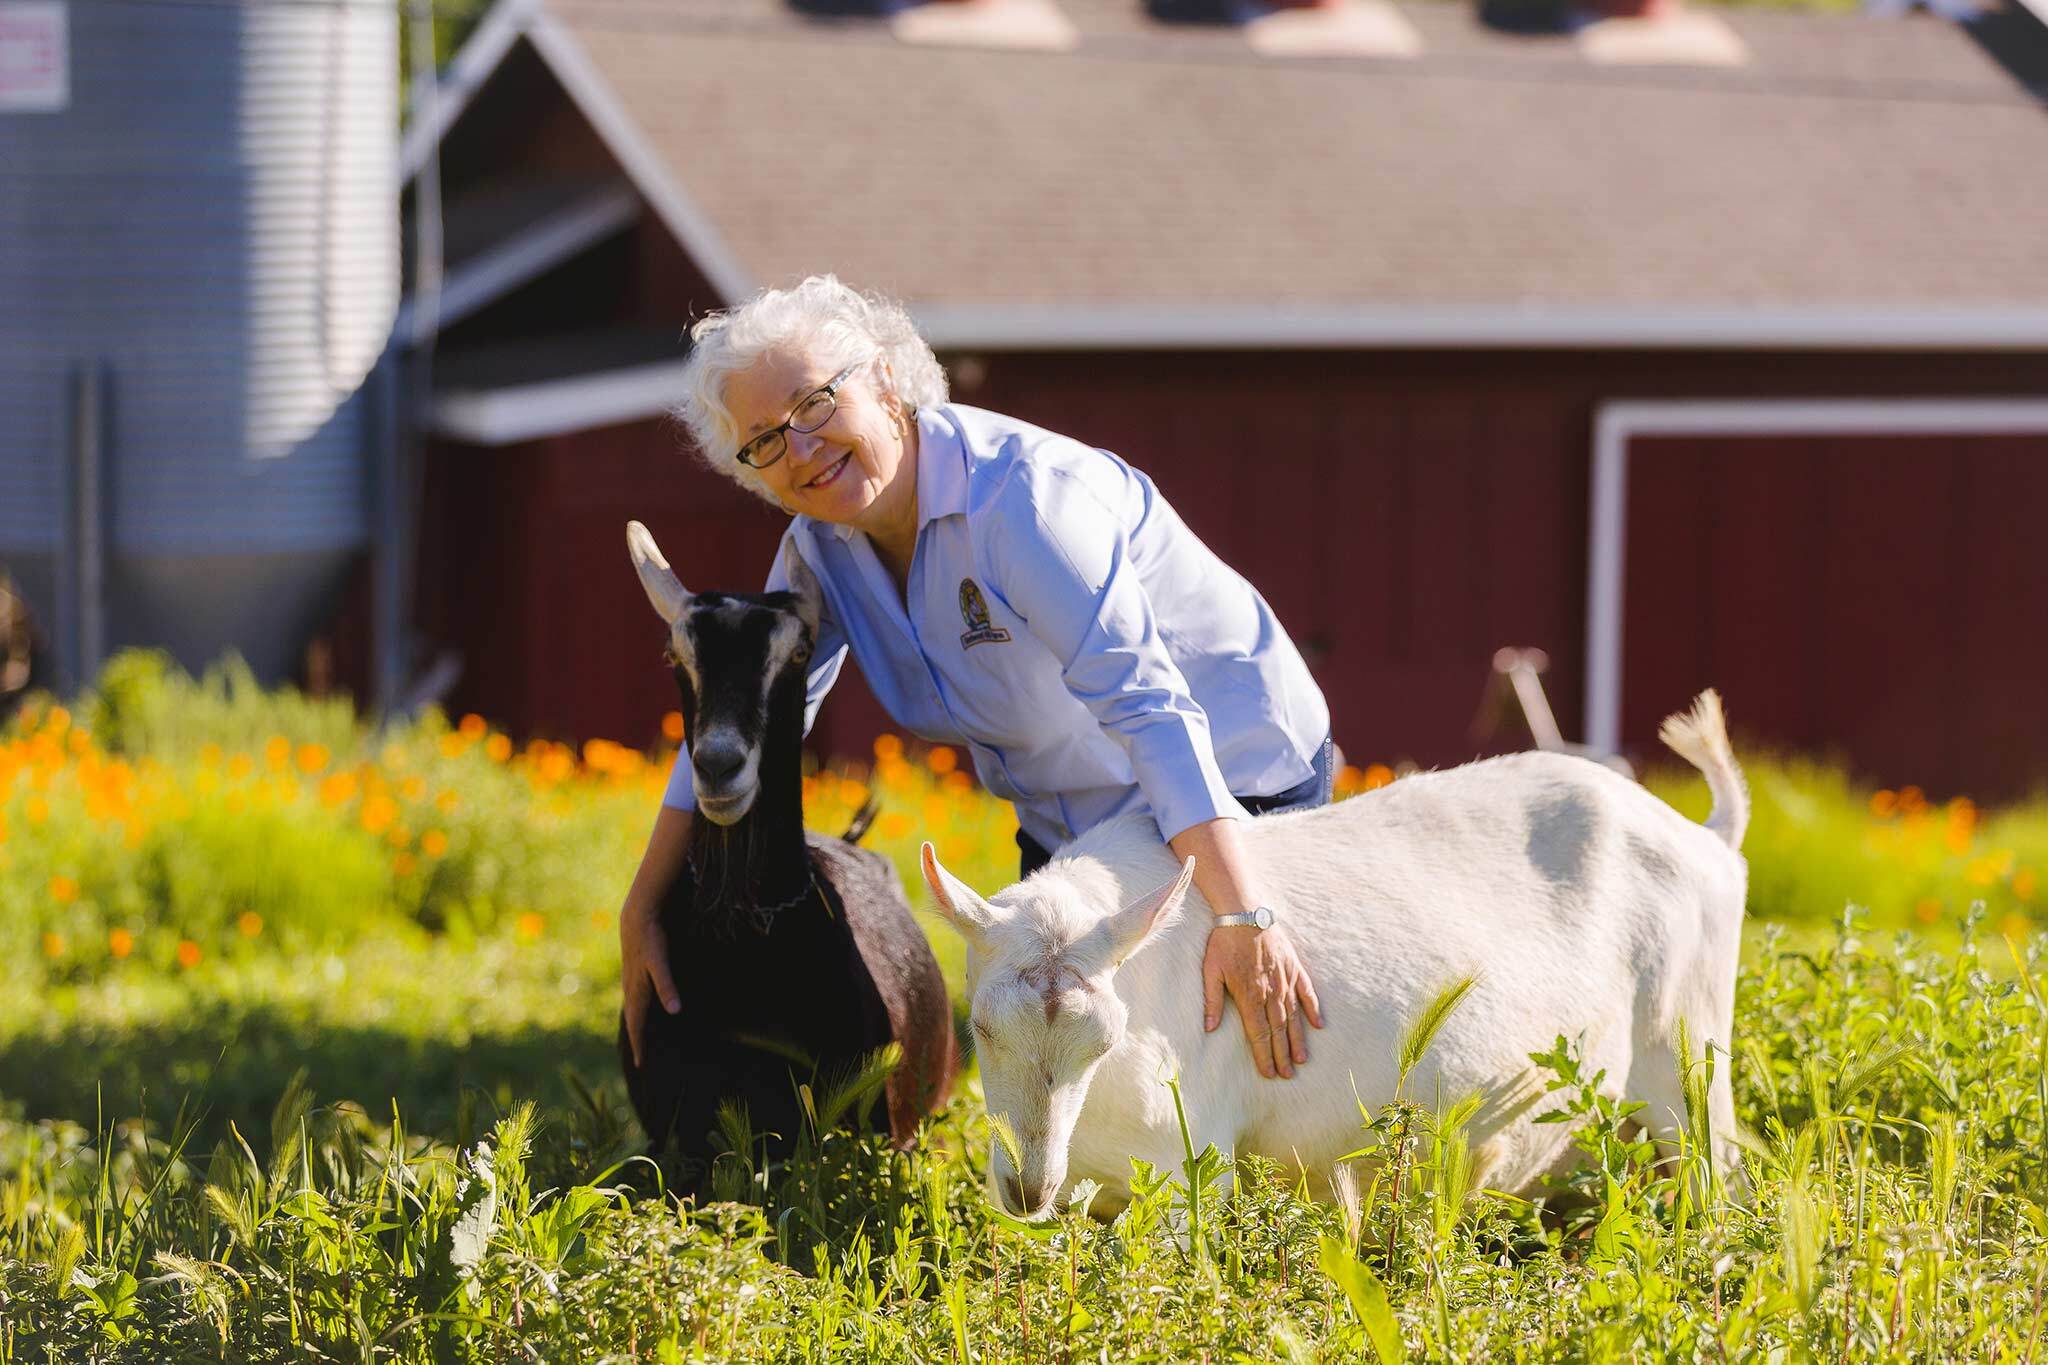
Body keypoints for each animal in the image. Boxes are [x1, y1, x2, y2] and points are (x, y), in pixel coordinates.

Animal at [618, 521, 956, 1173]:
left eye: (798, 654)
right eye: (676, 656)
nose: (718, 768)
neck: (750, 941)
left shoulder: (887, 1125)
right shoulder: (673, 1129)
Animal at [920, 690, 1748, 1220]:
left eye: (1103, 1042)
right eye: (982, 1029)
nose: (1028, 1189)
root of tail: (1710, 837)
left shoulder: (1190, 1170)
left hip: (1691, 1058)